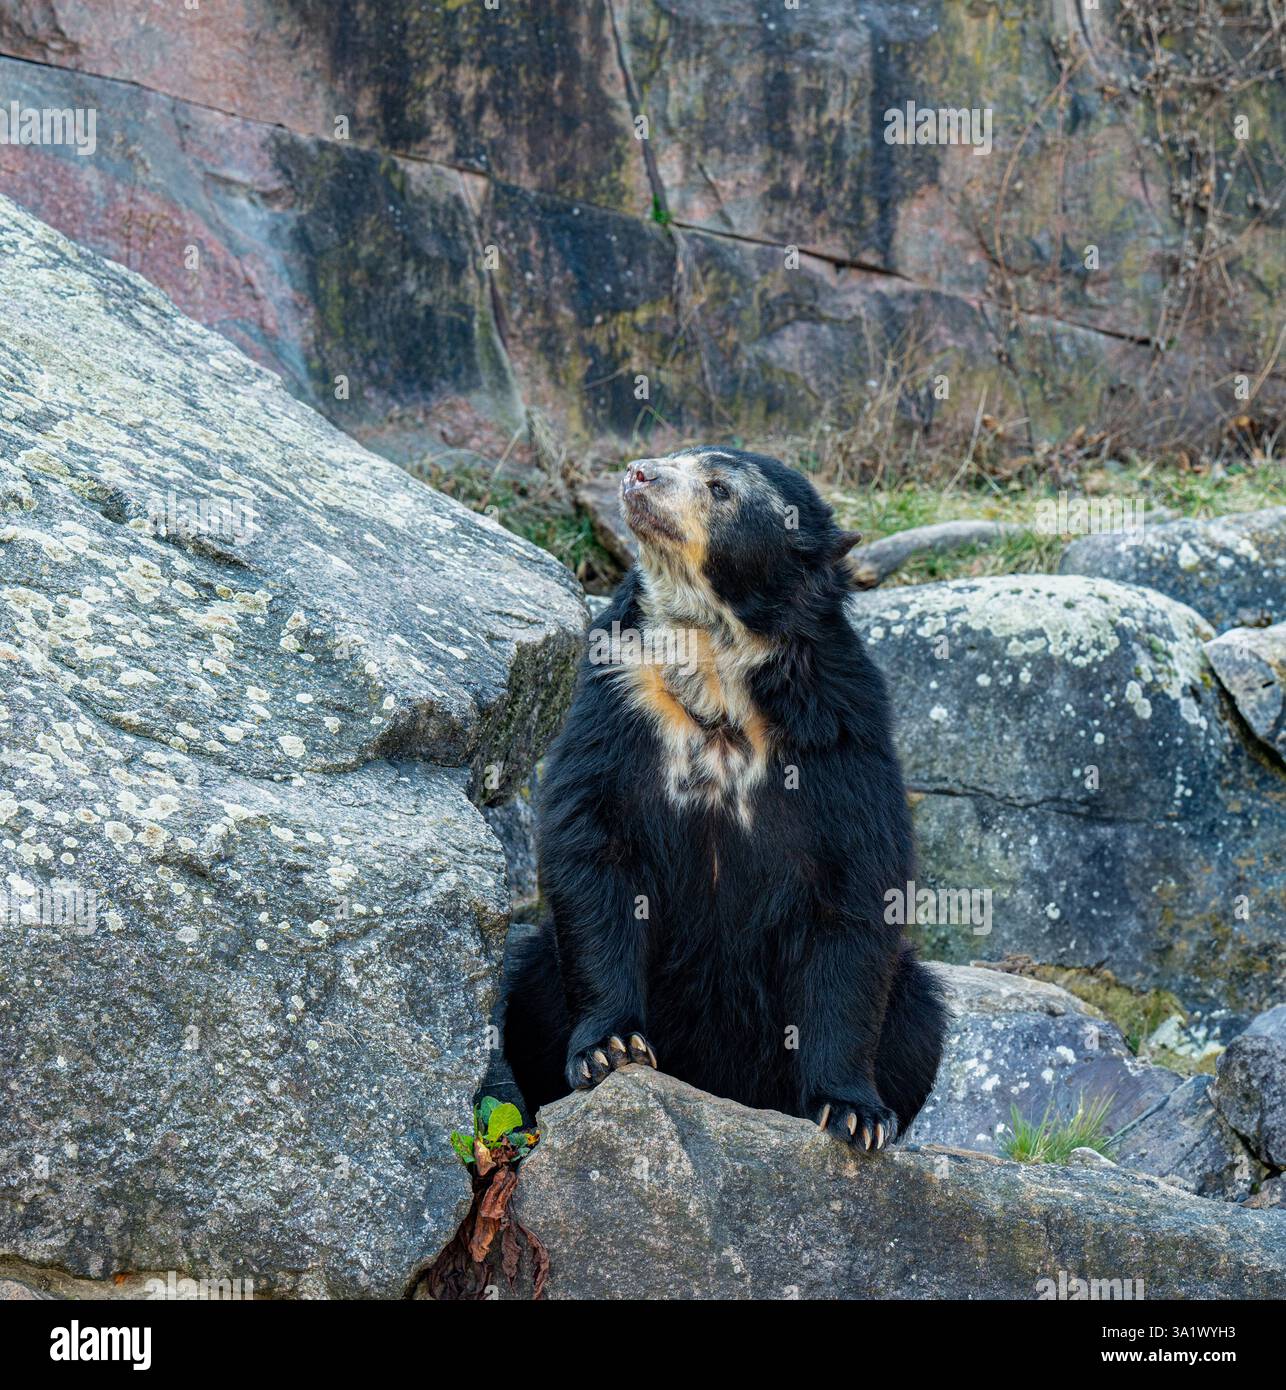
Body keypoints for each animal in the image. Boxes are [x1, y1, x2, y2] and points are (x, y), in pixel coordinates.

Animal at [490, 446, 946, 1149]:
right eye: (674, 454)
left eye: (720, 488)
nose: (637, 474)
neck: (714, 652)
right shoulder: (620, 699)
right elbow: (593, 842)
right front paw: (611, 1049)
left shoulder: (841, 736)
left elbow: (856, 893)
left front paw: (854, 1114)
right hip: (542, 974)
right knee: (531, 994)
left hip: (901, 1007)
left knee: (921, 1018)